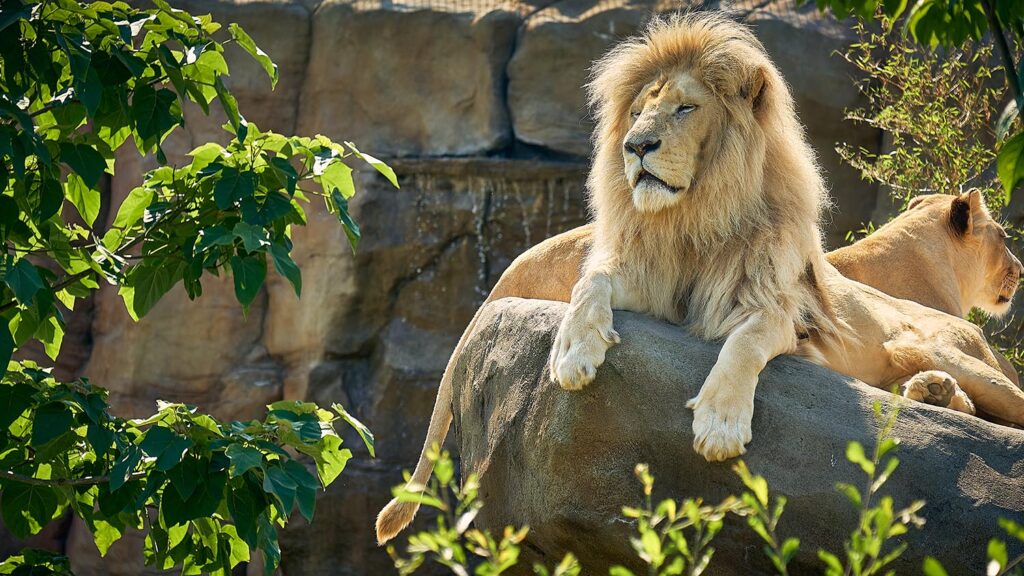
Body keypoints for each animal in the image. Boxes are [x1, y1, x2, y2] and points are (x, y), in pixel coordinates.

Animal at [375, 14, 1024, 544]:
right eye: (638, 110)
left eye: (686, 108)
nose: (636, 146)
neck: (693, 218)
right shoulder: (648, 283)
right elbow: (592, 286)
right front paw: (574, 352)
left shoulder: (775, 309)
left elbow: (744, 343)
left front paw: (719, 421)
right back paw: (929, 393)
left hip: (944, 347)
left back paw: (933, 392)